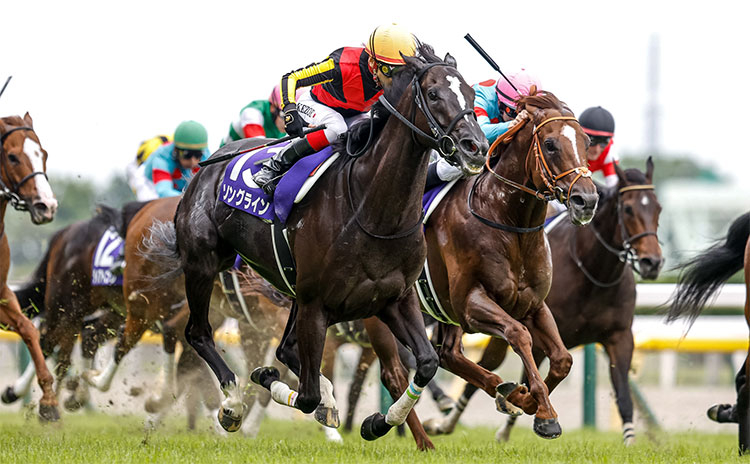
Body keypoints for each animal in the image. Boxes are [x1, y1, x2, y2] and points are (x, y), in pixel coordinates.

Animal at [139, 43, 486, 449]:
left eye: (470, 94)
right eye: (433, 94)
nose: (476, 148)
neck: (371, 208)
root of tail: (205, 169)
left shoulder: (393, 299)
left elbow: (428, 363)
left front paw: (377, 423)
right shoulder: (317, 303)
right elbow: (304, 395)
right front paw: (268, 385)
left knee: (285, 349)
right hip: (204, 264)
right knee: (197, 332)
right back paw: (231, 405)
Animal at [401, 91, 599, 439]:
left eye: (586, 141)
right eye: (550, 144)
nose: (586, 200)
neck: (506, 221)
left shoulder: (533, 304)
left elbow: (562, 359)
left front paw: (529, 402)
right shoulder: (471, 304)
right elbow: (519, 335)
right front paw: (542, 410)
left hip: (442, 313)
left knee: (448, 354)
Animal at [425, 159, 662, 444]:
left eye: (658, 208)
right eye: (627, 209)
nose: (652, 262)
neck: (593, 275)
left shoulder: (620, 337)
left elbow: (622, 392)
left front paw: (629, 440)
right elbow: (531, 374)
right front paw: (528, 414)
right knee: (481, 366)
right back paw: (448, 420)